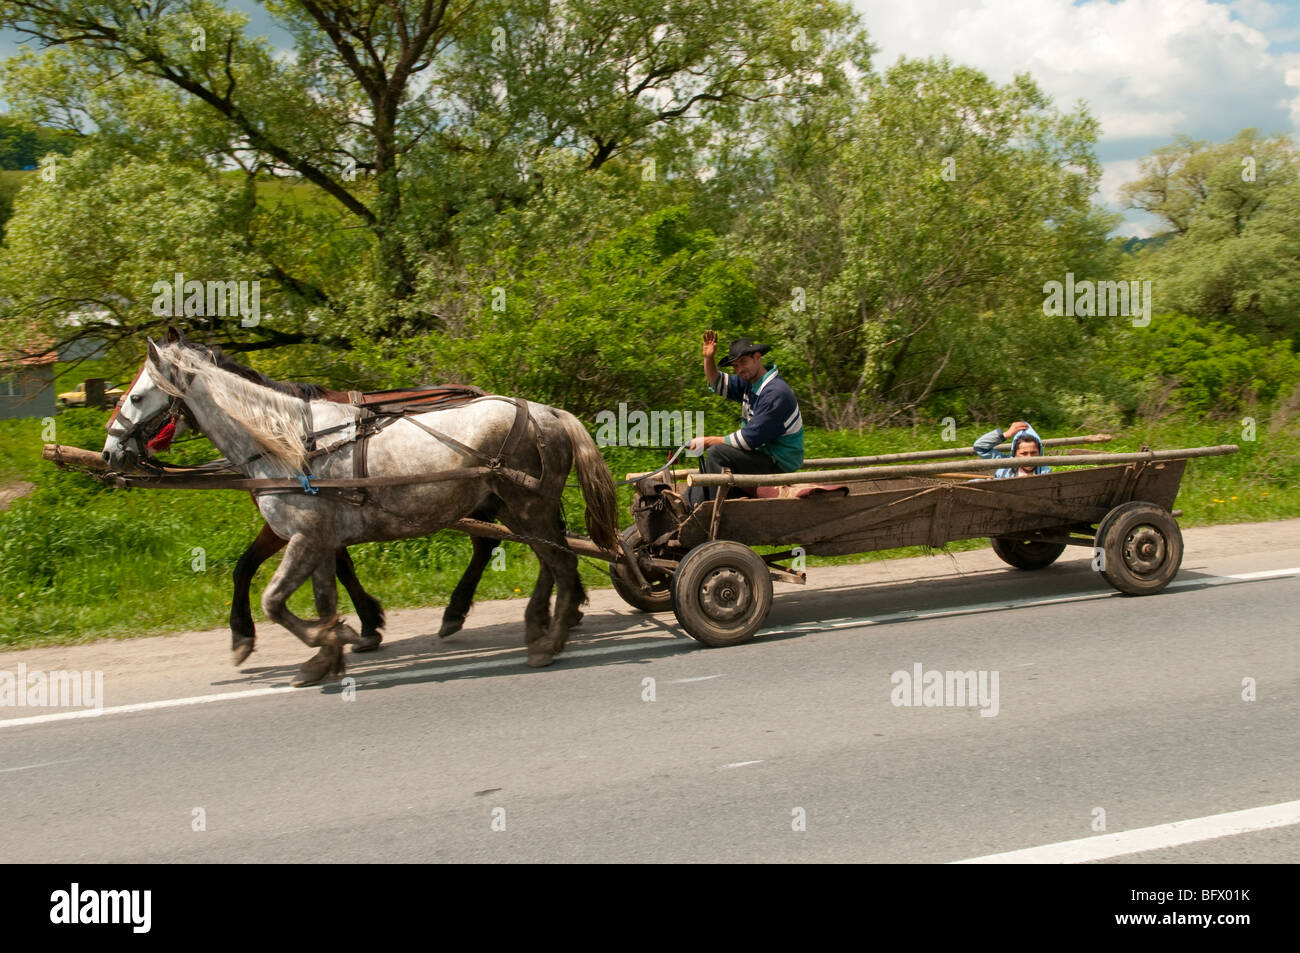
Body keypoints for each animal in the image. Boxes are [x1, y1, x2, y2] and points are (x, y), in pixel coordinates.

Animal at [104, 331, 617, 686]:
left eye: (136, 396)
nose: (109, 452)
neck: (291, 443)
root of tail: (548, 412)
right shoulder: (317, 539)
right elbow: (322, 599)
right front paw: (327, 655)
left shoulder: (304, 537)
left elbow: (271, 597)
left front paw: (326, 637)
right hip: (519, 511)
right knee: (547, 561)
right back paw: (538, 623)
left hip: (526, 508)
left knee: (558, 563)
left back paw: (545, 639)